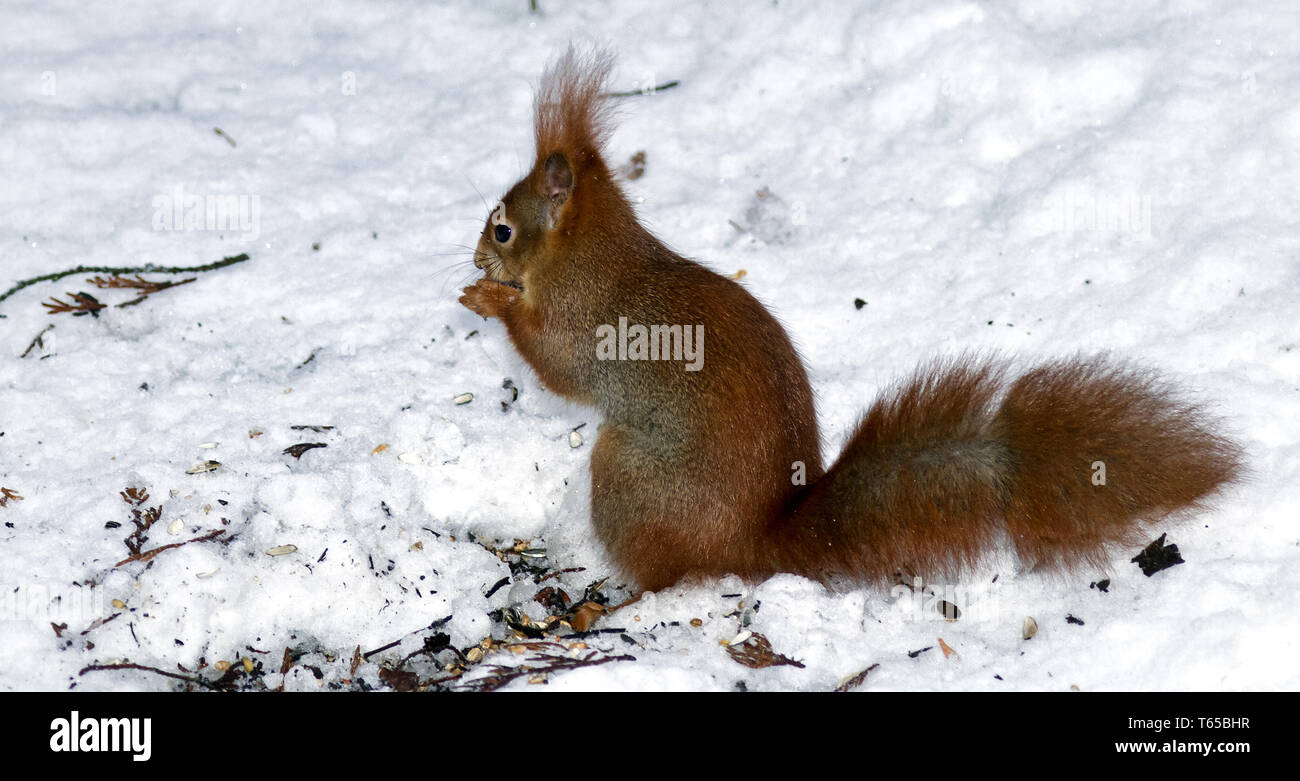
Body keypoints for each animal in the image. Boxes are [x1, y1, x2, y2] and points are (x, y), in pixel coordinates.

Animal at [458, 48, 1243, 592]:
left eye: (503, 229)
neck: (595, 253)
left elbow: (555, 363)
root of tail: (753, 544)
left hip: (625, 473)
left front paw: (488, 300)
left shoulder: (581, 316)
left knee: (667, 575)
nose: (474, 254)